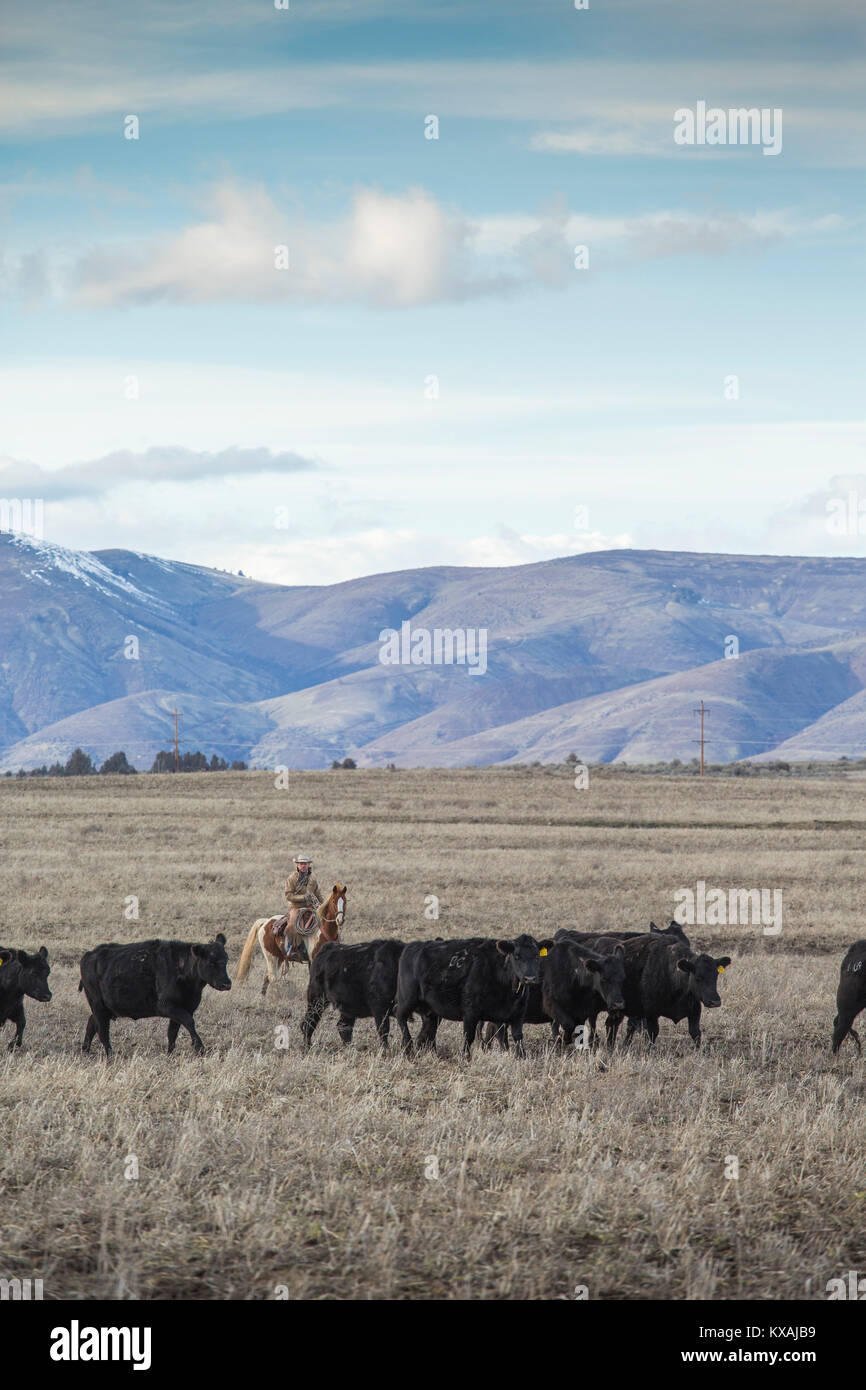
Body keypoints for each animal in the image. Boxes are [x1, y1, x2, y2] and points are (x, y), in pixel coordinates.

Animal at [79, 933, 231, 1057]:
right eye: (211, 962)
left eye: (226, 959)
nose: (227, 984)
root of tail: (89, 955)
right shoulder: (167, 1006)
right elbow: (189, 1022)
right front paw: (199, 1048)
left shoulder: (185, 1008)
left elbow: (173, 1032)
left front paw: (170, 1053)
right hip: (98, 1005)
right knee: (102, 1031)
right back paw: (110, 1055)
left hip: (104, 1009)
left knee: (92, 1024)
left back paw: (85, 1051)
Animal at [396, 934, 554, 1059]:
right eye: (517, 956)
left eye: (536, 956)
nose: (530, 978)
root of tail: (412, 946)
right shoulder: (470, 1012)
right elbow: (469, 1037)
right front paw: (466, 1057)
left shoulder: (517, 1014)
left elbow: (517, 1037)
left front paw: (521, 1057)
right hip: (406, 999)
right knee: (401, 1017)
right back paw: (408, 1047)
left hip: (431, 1010)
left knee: (428, 1030)